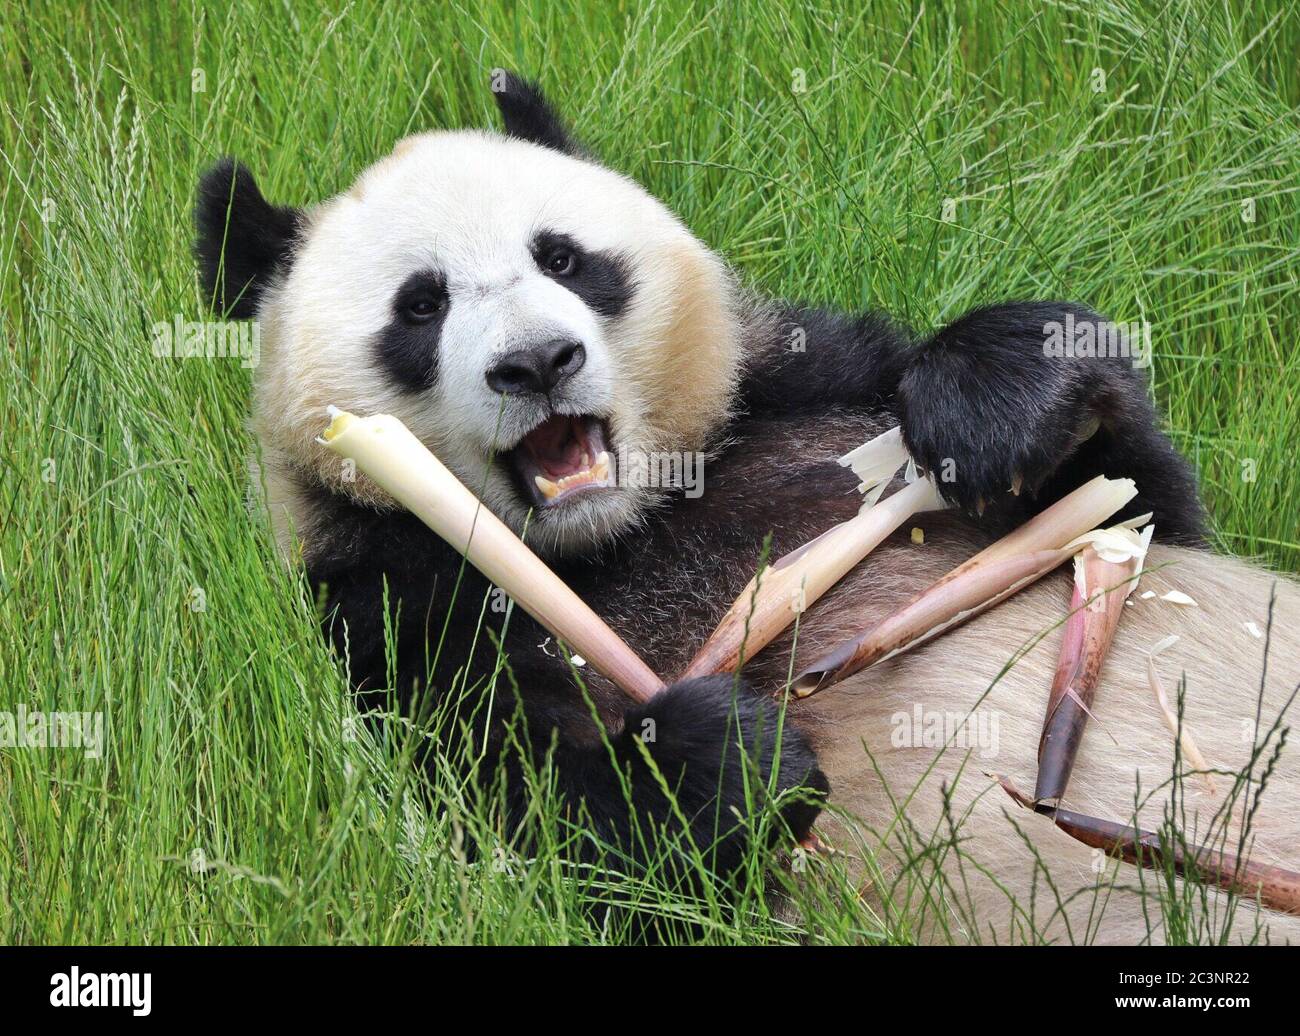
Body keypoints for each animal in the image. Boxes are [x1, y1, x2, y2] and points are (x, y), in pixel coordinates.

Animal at [196, 72, 1299, 943]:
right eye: (420, 306)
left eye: (564, 258)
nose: (539, 361)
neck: (623, 528)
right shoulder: (385, 602)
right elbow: (521, 829)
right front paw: (730, 757)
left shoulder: (804, 398)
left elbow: (1131, 519)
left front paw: (999, 406)